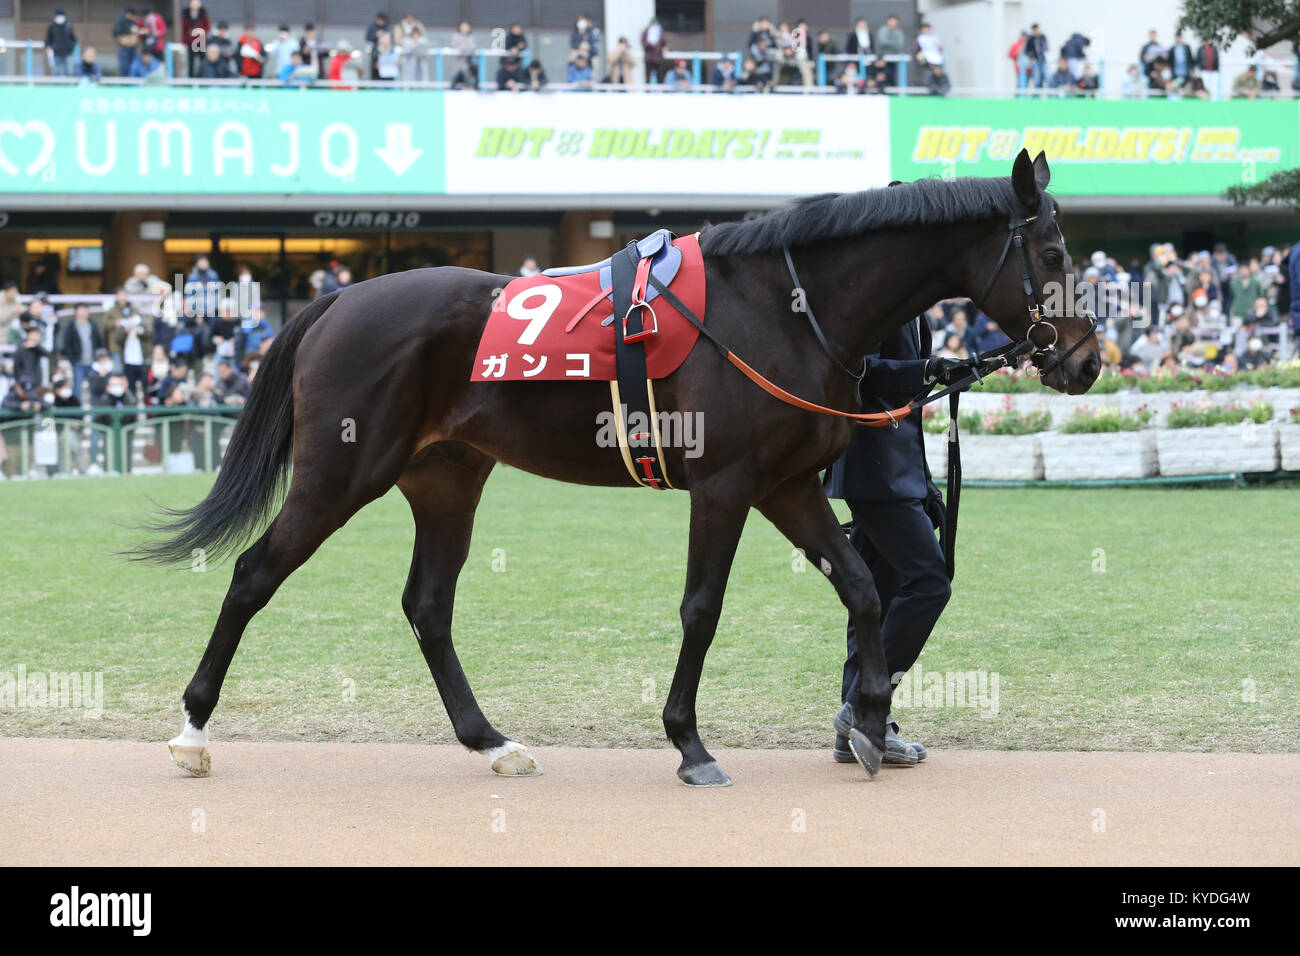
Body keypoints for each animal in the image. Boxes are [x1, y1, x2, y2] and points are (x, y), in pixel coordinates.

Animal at [140, 149, 1099, 787]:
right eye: (1053, 254)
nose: (1087, 361)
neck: (784, 306)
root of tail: (335, 300)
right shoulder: (725, 486)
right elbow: (703, 609)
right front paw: (689, 744)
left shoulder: (787, 486)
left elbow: (863, 589)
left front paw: (866, 723)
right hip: (341, 473)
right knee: (253, 574)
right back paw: (192, 732)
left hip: (447, 477)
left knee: (428, 607)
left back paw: (492, 741)